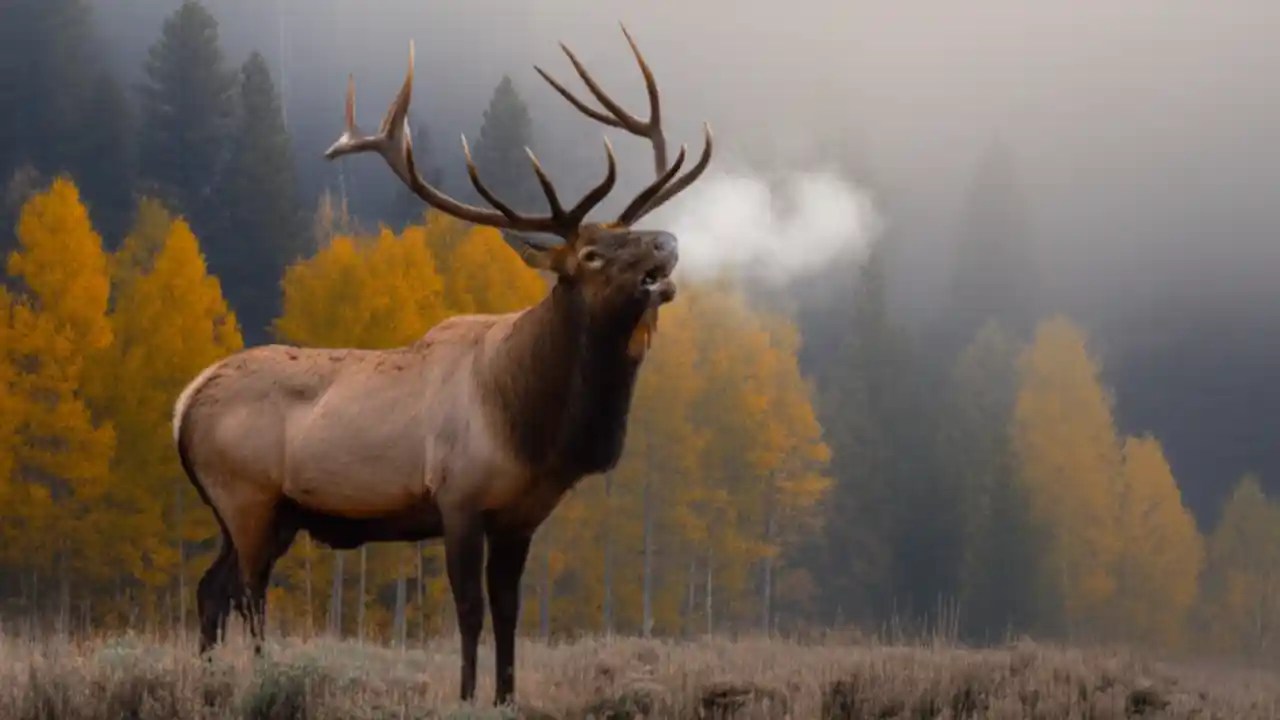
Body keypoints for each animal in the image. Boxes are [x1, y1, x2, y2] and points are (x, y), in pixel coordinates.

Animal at [171, 25, 711, 706]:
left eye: (631, 234)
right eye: (591, 253)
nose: (666, 244)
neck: (532, 426)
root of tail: (184, 402)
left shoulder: (521, 516)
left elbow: (508, 612)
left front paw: (506, 696)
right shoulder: (459, 499)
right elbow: (469, 612)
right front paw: (465, 694)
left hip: (263, 511)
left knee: (210, 588)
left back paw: (209, 681)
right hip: (246, 495)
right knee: (248, 592)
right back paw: (264, 677)